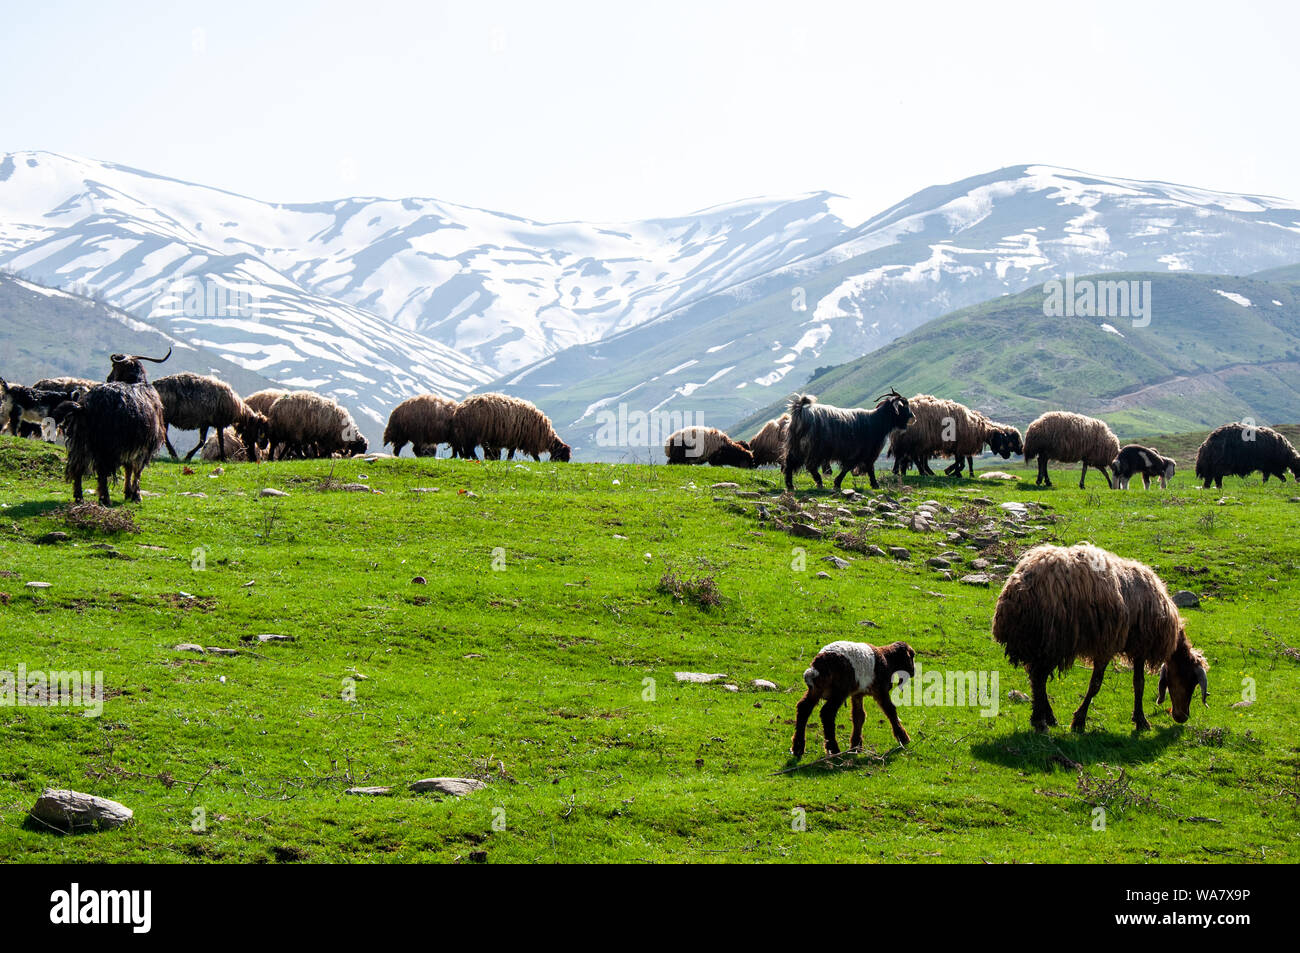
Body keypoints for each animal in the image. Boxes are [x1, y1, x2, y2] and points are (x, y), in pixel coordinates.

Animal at [56, 349, 171, 505]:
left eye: (113, 366)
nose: (109, 377)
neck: (136, 381)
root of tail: (85, 406)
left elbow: (129, 468)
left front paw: (128, 493)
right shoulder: (145, 446)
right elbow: (137, 470)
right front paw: (136, 495)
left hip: (80, 442)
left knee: (77, 467)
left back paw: (79, 497)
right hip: (106, 445)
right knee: (102, 470)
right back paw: (105, 499)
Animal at [783, 389, 914, 491]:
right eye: (904, 406)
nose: (913, 417)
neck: (877, 421)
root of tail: (801, 411)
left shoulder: (863, 453)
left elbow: (866, 468)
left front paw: (874, 485)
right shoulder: (862, 451)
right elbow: (854, 467)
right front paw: (838, 483)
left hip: (796, 446)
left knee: (790, 463)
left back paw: (790, 485)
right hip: (815, 447)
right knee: (810, 466)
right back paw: (819, 483)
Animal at [992, 543, 1209, 732]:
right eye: (1190, 680)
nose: (1182, 717)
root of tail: (1015, 593)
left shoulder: (1135, 646)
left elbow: (1138, 683)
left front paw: (1139, 719)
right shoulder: (1115, 645)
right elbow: (1098, 684)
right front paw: (1079, 720)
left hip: (1042, 643)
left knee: (1037, 678)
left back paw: (1048, 717)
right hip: (1054, 639)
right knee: (1038, 677)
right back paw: (1040, 721)